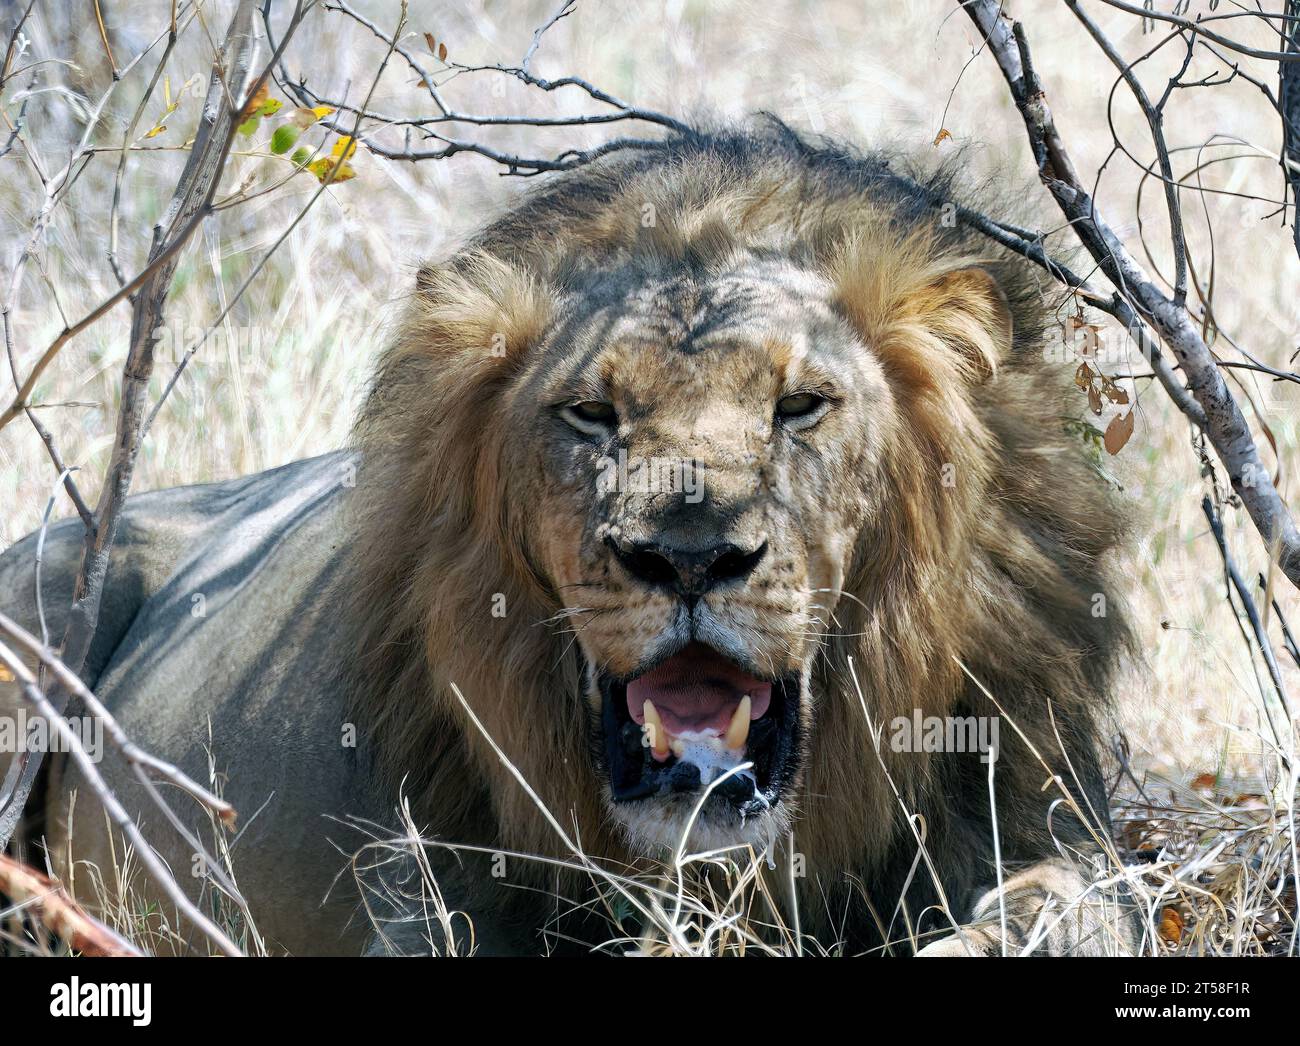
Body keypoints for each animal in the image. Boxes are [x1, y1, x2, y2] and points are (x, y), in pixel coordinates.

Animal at [0, 122, 1135, 956]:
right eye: (591, 414)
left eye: (800, 405)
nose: (689, 555)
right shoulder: (424, 896)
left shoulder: (1035, 805)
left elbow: (1081, 904)